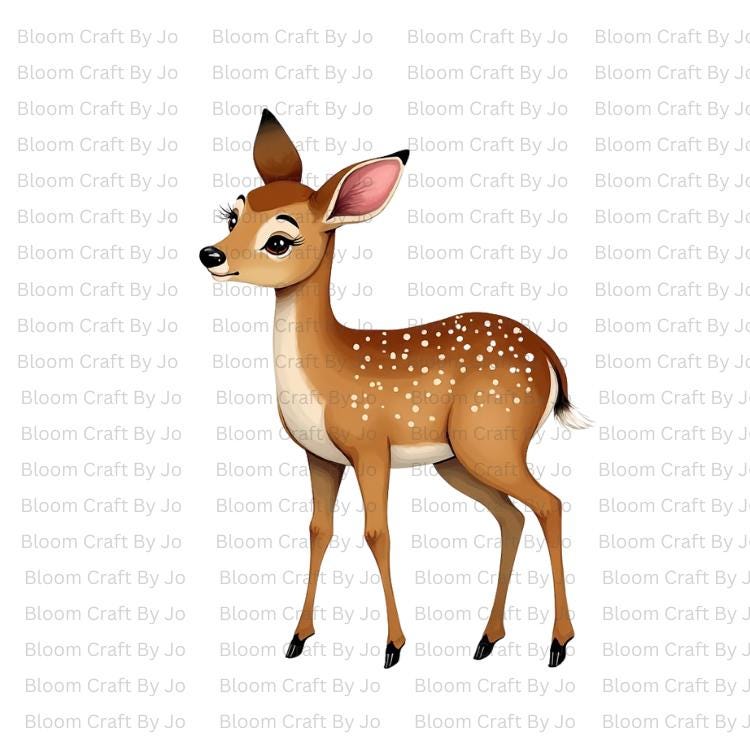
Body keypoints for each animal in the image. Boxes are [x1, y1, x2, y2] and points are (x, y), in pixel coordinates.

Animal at [200, 110, 588, 669]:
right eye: (233, 216)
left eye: (279, 240)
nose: (210, 254)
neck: (326, 373)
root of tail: (549, 357)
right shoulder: (319, 456)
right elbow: (318, 530)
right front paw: (298, 638)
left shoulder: (370, 445)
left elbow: (376, 532)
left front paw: (393, 646)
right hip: (457, 459)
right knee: (511, 516)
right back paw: (487, 639)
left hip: (491, 439)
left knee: (549, 504)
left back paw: (557, 642)